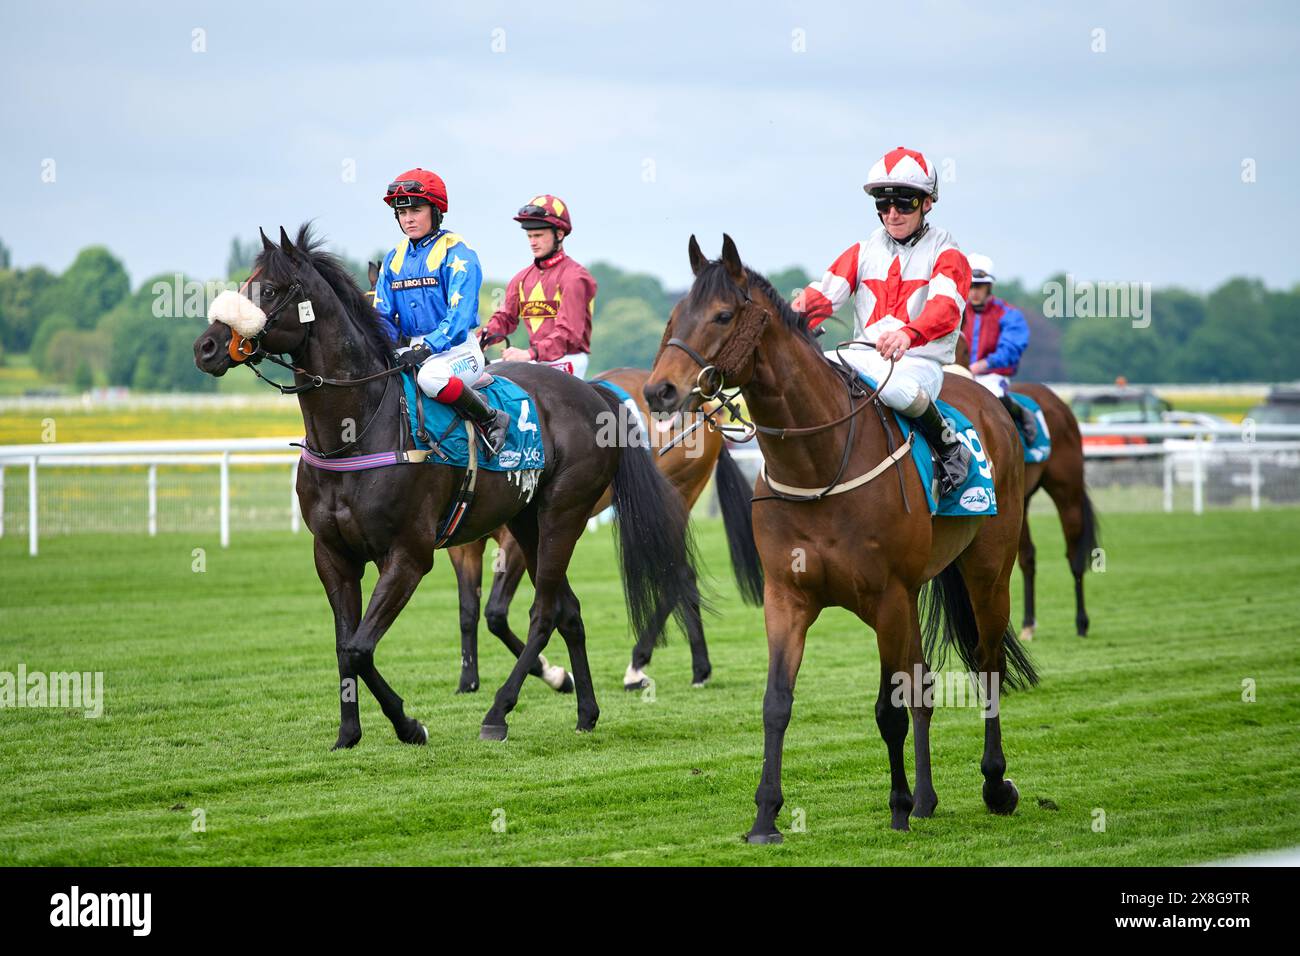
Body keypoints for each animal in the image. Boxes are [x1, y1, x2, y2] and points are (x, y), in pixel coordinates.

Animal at [194, 225, 701, 745]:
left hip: (564, 514)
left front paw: (408, 724)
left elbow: (360, 647)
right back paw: (585, 711)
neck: (355, 434)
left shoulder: (408, 555)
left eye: (270, 290)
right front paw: (348, 734)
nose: (206, 347)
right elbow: (345, 644)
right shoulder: (333, 555)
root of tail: (594, 392)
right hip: (528, 522)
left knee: (545, 612)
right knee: (570, 610)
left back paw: (500, 711)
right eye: (245, 284)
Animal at [364, 264, 764, 695]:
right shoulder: (463, 540)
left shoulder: (517, 534)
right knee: (681, 574)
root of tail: (704, 406)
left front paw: (553, 672)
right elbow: (469, 611)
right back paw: (698, 666)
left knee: (675, 575)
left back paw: (640, 664)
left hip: (672, 498)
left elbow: (496, 612)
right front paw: (469, 679)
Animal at [644, 235, 1039, 840]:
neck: (819, 464)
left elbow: (888, 709)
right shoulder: (787, 596)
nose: (658, 390)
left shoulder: (887, 598)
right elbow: (777, 702)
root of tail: (992, 406)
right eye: (674, 316)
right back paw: (928, 800)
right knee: (924, 685)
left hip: (987, 572)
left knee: (988, 664)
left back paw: (995, 785)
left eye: (723, 315)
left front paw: (897, 807)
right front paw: (765, 815)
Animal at [951, 336, 1099, 639]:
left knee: (1074, 554)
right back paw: (1028, 623)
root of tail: (1056, 400)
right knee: (1028, 557)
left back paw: (1081, 622)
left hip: (1067, 492)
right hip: (1021, 501)